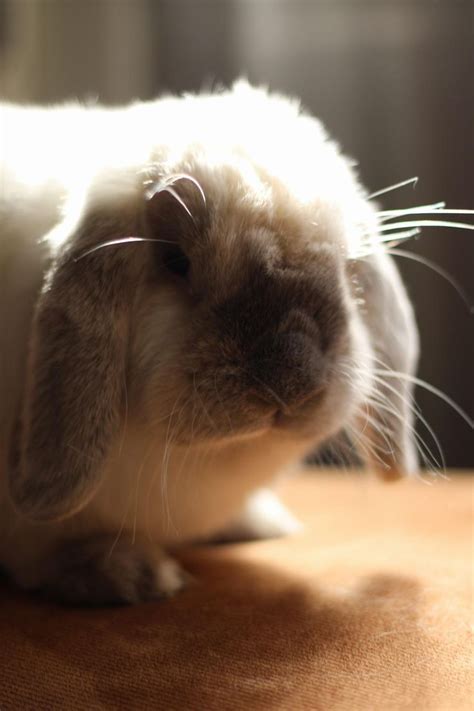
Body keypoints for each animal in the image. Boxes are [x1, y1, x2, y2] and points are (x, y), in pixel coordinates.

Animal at [0, 81, 419, 604]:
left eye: (347, 270)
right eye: (175, 260)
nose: (292, 379)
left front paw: (262, 523)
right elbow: (42, 547)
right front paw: (128, 574)